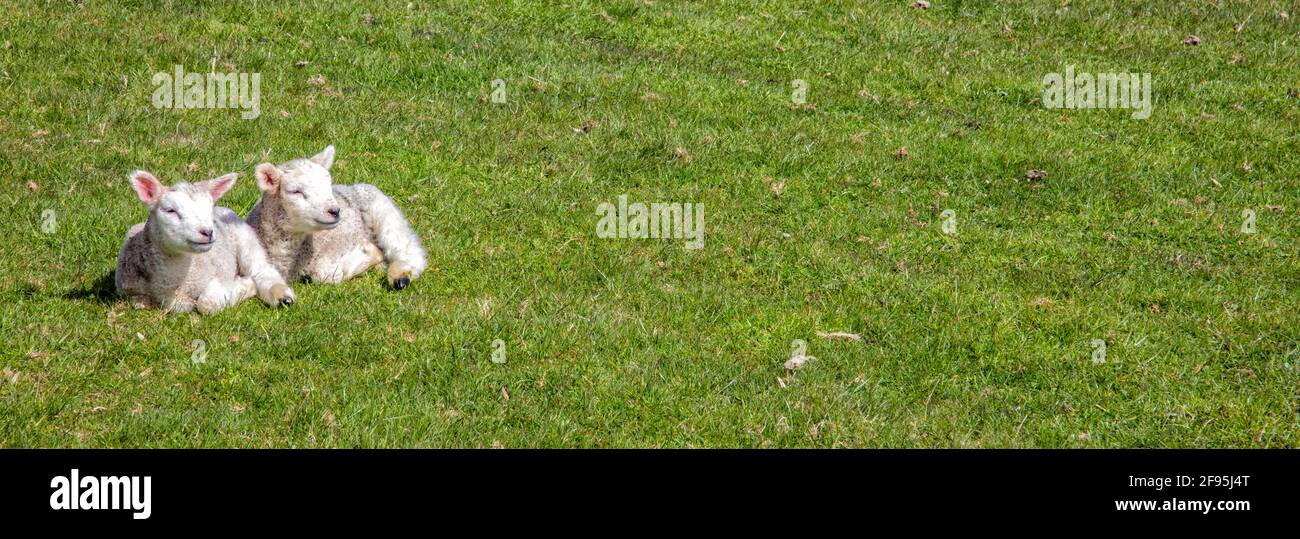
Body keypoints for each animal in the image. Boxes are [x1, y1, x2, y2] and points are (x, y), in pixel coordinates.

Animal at [115, 170, 296, 314]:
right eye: (170, 210)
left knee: (261, 269)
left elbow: (206, 303)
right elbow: (147, 303)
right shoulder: (131, 292)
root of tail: (223, 209)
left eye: (208, 209)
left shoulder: (219, 275)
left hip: (246, 239)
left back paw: (281, 296)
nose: (208, 232)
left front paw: (246, 286)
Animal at [246, 145, 427, 289]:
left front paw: (369, 254)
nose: (335, 211)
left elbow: (325, 275)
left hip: (383, 212)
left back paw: (400, 276)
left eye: (328, 186)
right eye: (296, 191)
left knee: (407, 249)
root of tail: (350, 186)